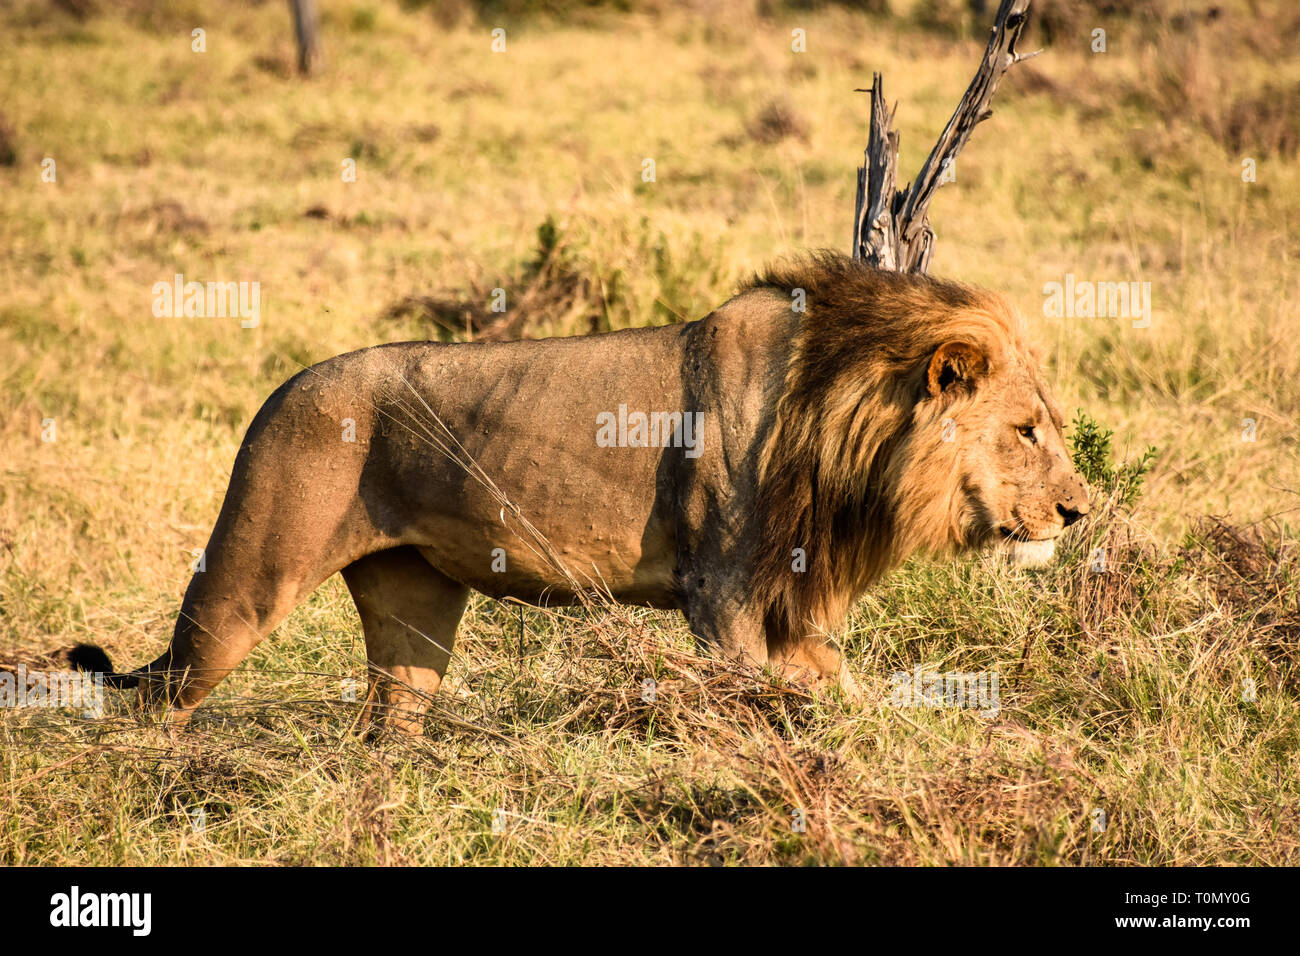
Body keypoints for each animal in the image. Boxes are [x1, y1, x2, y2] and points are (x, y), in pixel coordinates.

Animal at [79, 251, 1088, 733]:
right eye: (1026, 430)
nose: (1079, 512)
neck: (844, 429)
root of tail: (278, 391)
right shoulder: (721, 595)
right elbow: (757, 708)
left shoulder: (792, 606)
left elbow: (852, 696)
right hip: (246, 582)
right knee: (156, 701)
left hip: (414, 605)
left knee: (386, 723)